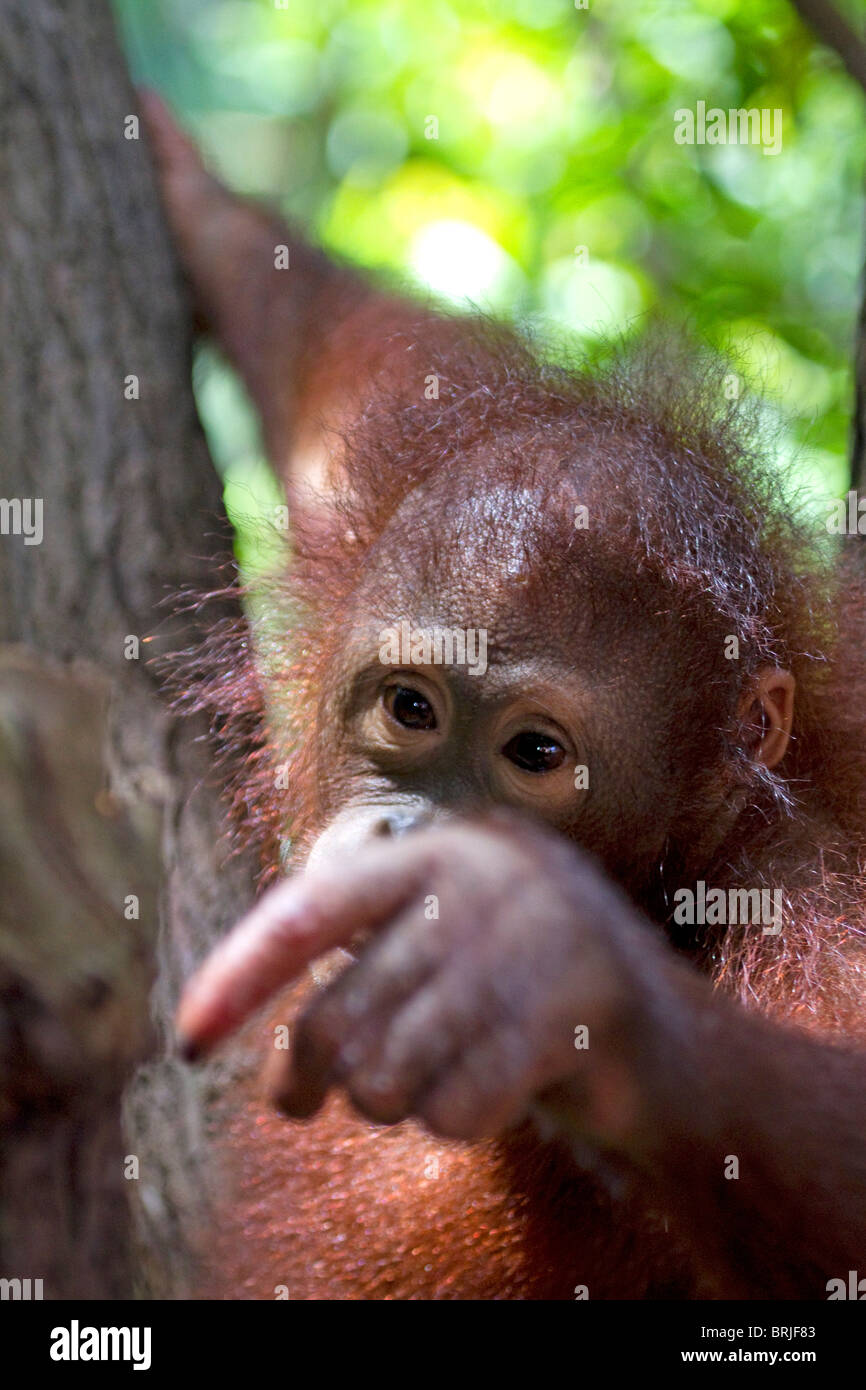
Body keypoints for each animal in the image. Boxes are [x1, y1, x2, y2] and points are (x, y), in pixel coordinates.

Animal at [142, 92, 866, 1300]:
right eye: (410, 709)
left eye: (534, 754)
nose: (404, 833)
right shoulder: (402, 416)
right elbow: (353, 355)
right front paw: (184, 181)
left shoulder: (810, 910)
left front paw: (541, 962)